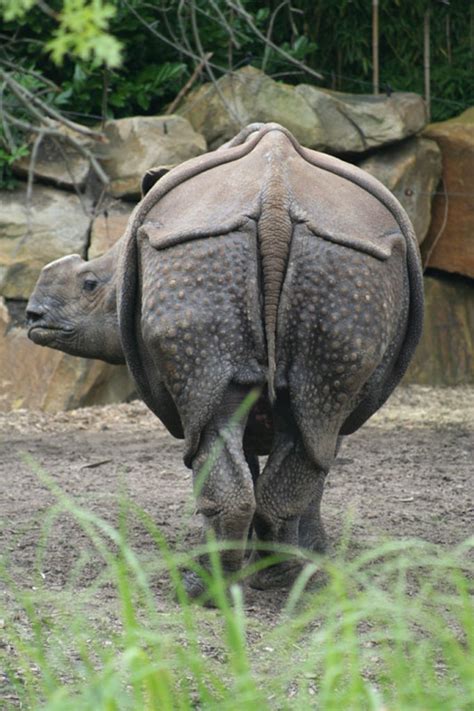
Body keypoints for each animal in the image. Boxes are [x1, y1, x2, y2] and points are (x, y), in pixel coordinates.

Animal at [26, 123, 423, 593]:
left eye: (89, 284)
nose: (33, 317)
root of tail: (276, 198)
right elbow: (302, 461)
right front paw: (305, 558)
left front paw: (301, 555)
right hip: (321, 263)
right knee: (287, 421)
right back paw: (274, 580)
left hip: (240, 254)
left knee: (245, 429)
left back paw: (223, 583)